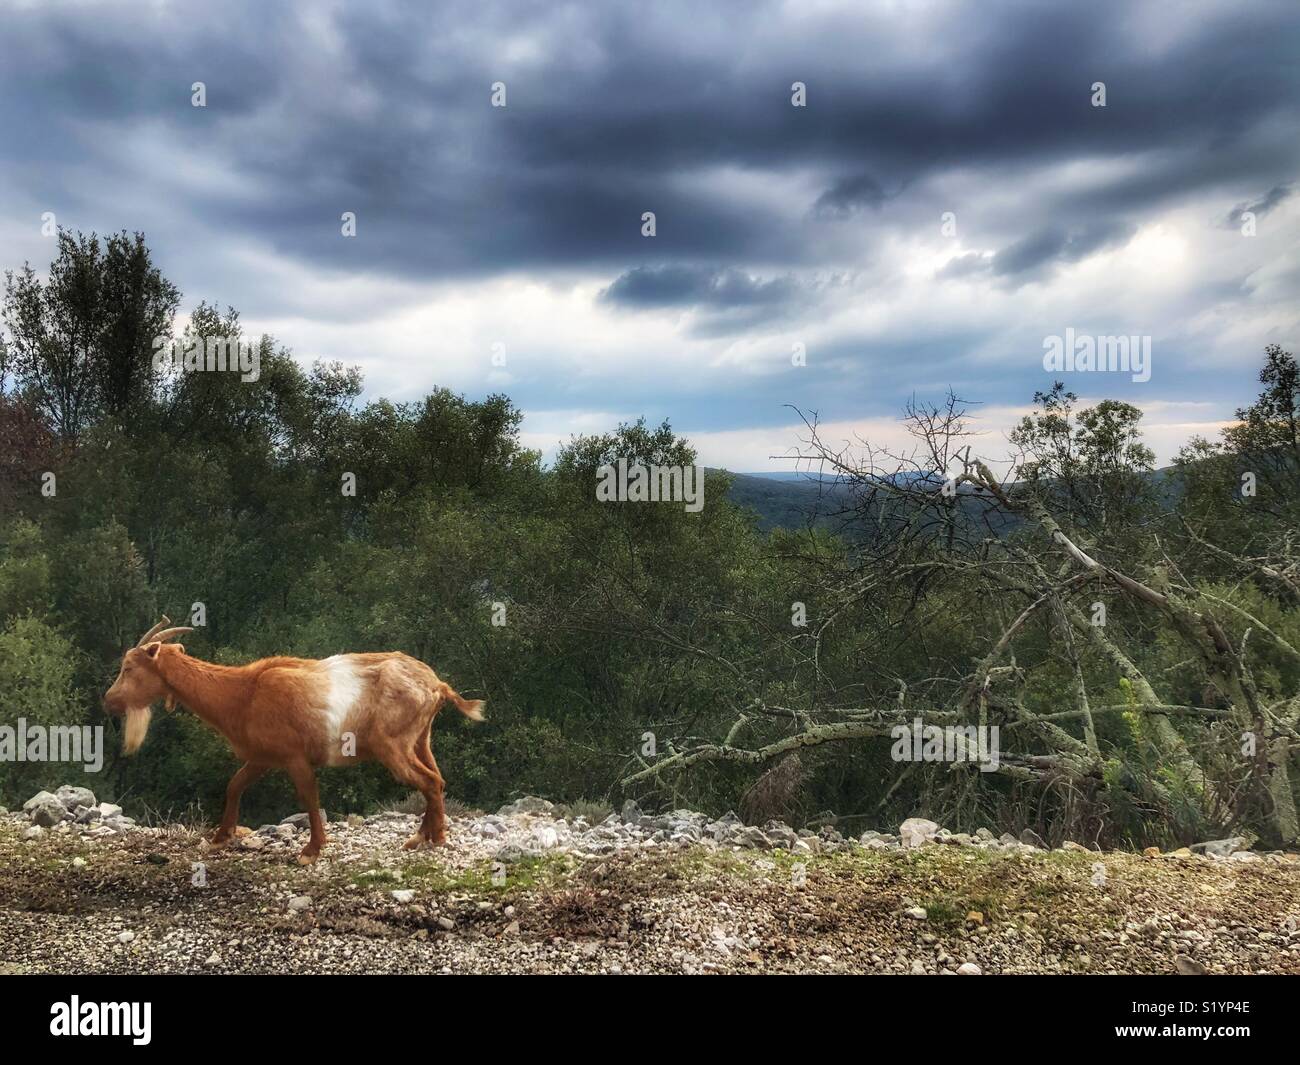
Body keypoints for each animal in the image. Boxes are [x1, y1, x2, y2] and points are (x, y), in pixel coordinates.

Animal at [103, 618, 485, 864]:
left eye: (129, 668)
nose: (108, 701)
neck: (243, 693)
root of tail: (437, 686)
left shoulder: (294, 757)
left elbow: (309, 796)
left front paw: (311, 851)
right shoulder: (262, 757)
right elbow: (234, 785)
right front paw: (219, 838)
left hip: (392, 744)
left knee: (429, 781)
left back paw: (433, 839)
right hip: (421, 739)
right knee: (437, 779)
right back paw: (423, 835)